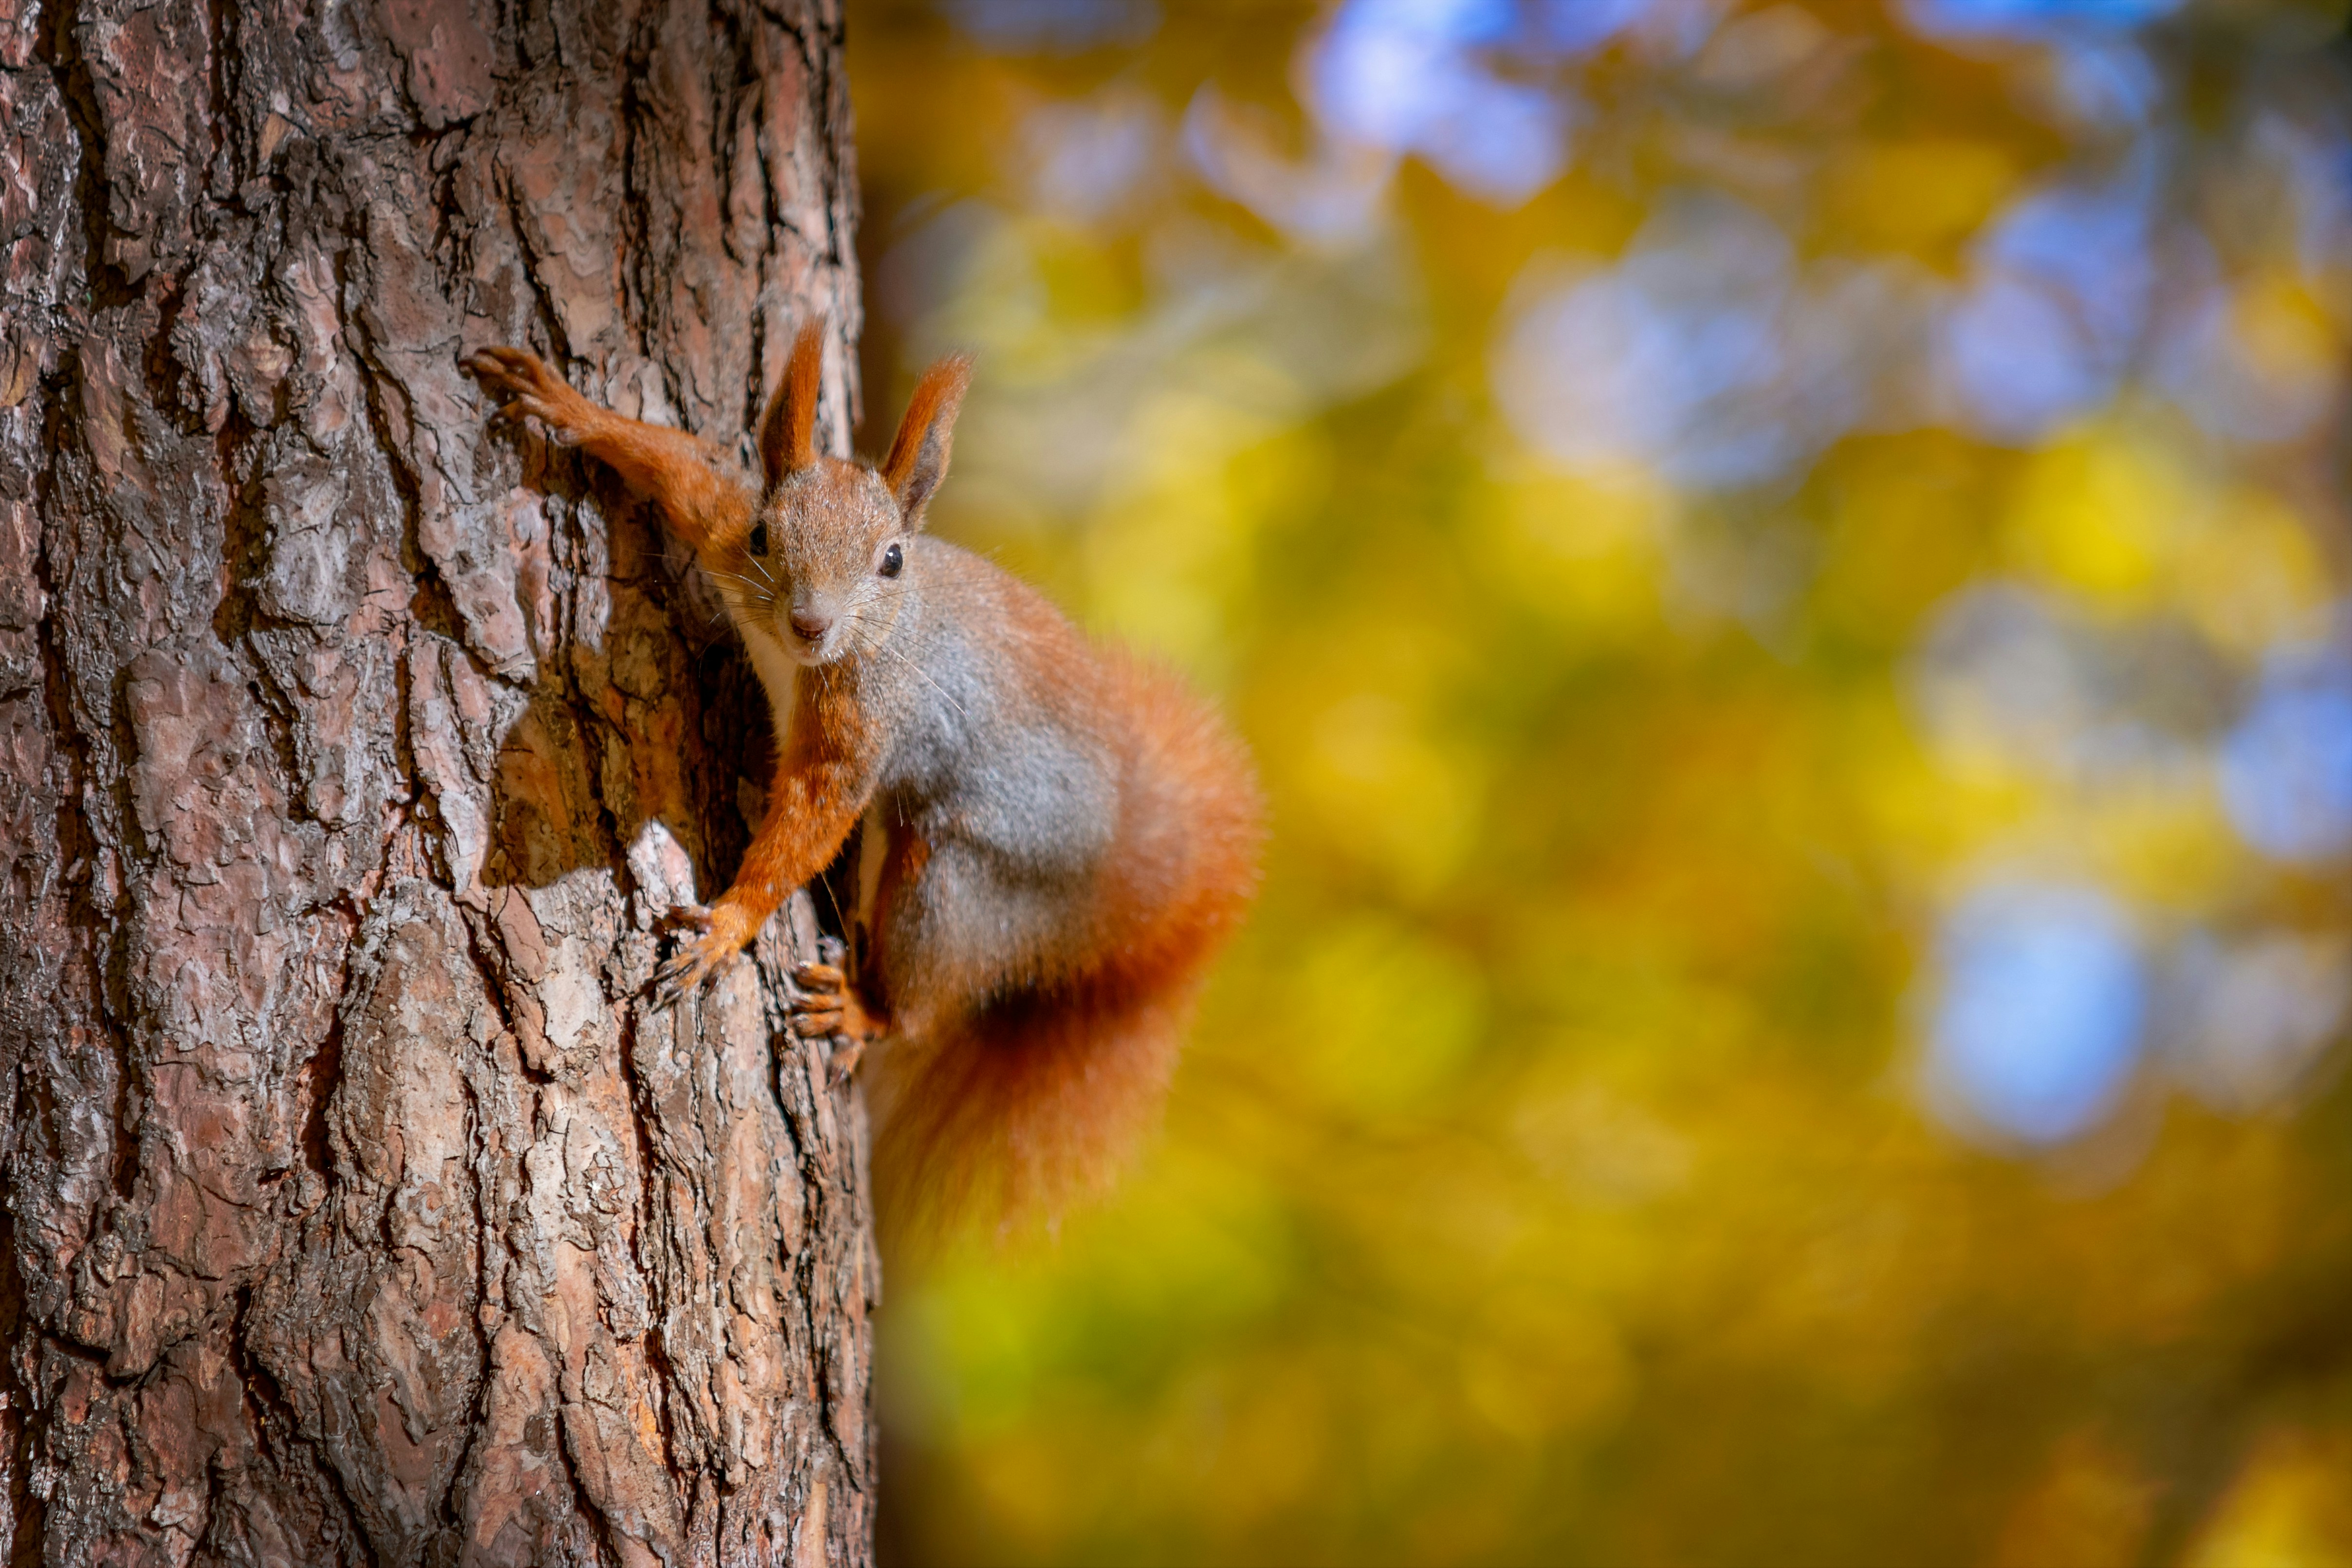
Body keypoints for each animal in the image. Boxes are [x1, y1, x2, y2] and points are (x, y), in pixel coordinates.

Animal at [465, 324, 1263, 1225]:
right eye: (766, 536)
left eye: (891, 561)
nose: (810, 622)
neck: (824, 652)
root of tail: (1112, 874)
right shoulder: (720, 526)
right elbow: (684, 465)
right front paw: (562, 401)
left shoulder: (863, 724)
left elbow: (814, 818)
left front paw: (730, 924)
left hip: (960, 888)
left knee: (921, 991)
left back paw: (865, 1005)